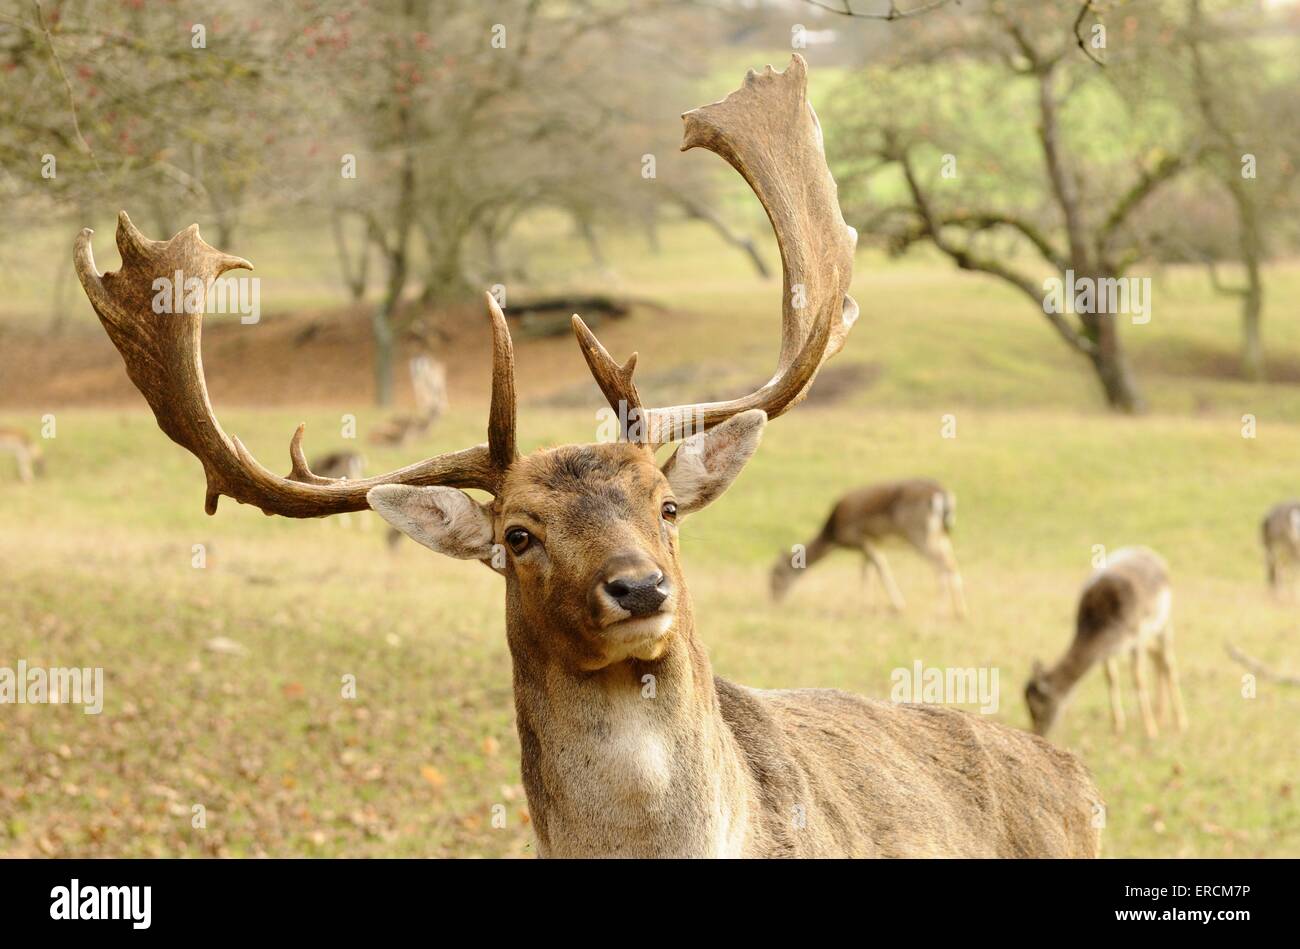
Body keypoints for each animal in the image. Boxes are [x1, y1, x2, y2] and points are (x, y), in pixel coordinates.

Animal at [770, 478, 966, 618]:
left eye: (776, 575)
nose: (773, 599)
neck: (833, 535)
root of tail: (943, 495)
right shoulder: (873, 542)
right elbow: (869, 570)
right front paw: (868, 606)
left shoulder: (860, 539)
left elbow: (877, 569)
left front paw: (896, 606)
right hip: (941, 535)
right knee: (952, 562)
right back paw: (960, 612)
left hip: (918, 533)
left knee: (942, 564)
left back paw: (939, 611)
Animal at [1025, 547, 1186, 740]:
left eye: (1038, 706)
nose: (1037, 732)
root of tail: (1150, 552)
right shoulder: (1108, 651)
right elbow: (1111, 679)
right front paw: (1118, 727)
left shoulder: (1137, 635)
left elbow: (1138, 679)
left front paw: (1150, 731)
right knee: (1157, 656)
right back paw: (1160, 715)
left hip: (1164, 623)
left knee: (1168, 661)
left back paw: (1179, 723)